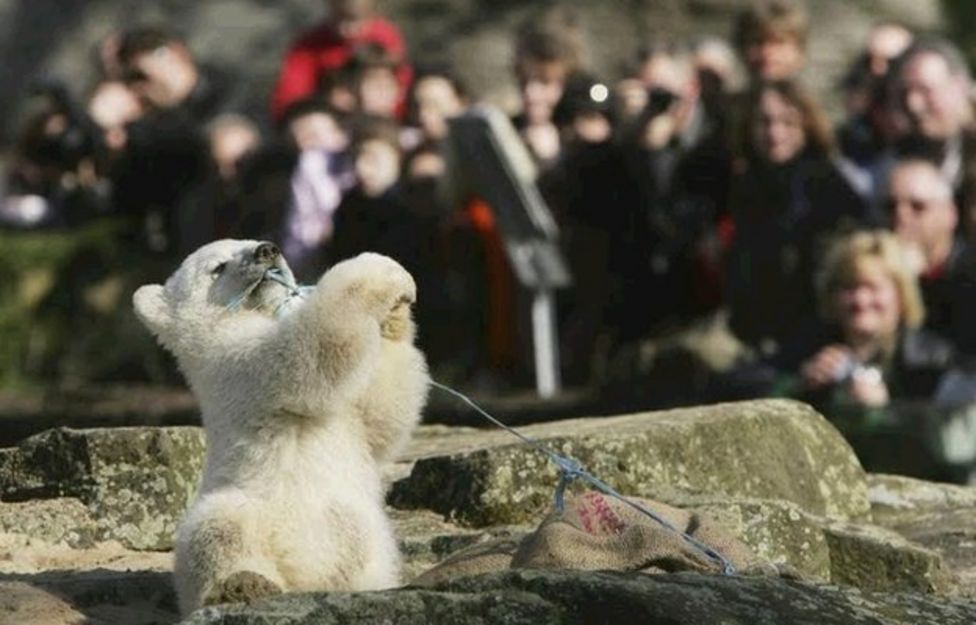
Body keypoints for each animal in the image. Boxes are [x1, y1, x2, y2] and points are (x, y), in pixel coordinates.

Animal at [133, 239, 429, 616]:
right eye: (218, 266)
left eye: (252, 240)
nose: (266, 250)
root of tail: (302, 578)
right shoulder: (232, 361)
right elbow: (307, 352)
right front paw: (381, 270)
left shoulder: (356, 415)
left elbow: (383, 411)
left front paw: (396, 313)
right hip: (246, 509)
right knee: (218, 532)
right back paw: (242, 585)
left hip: (366, 538)